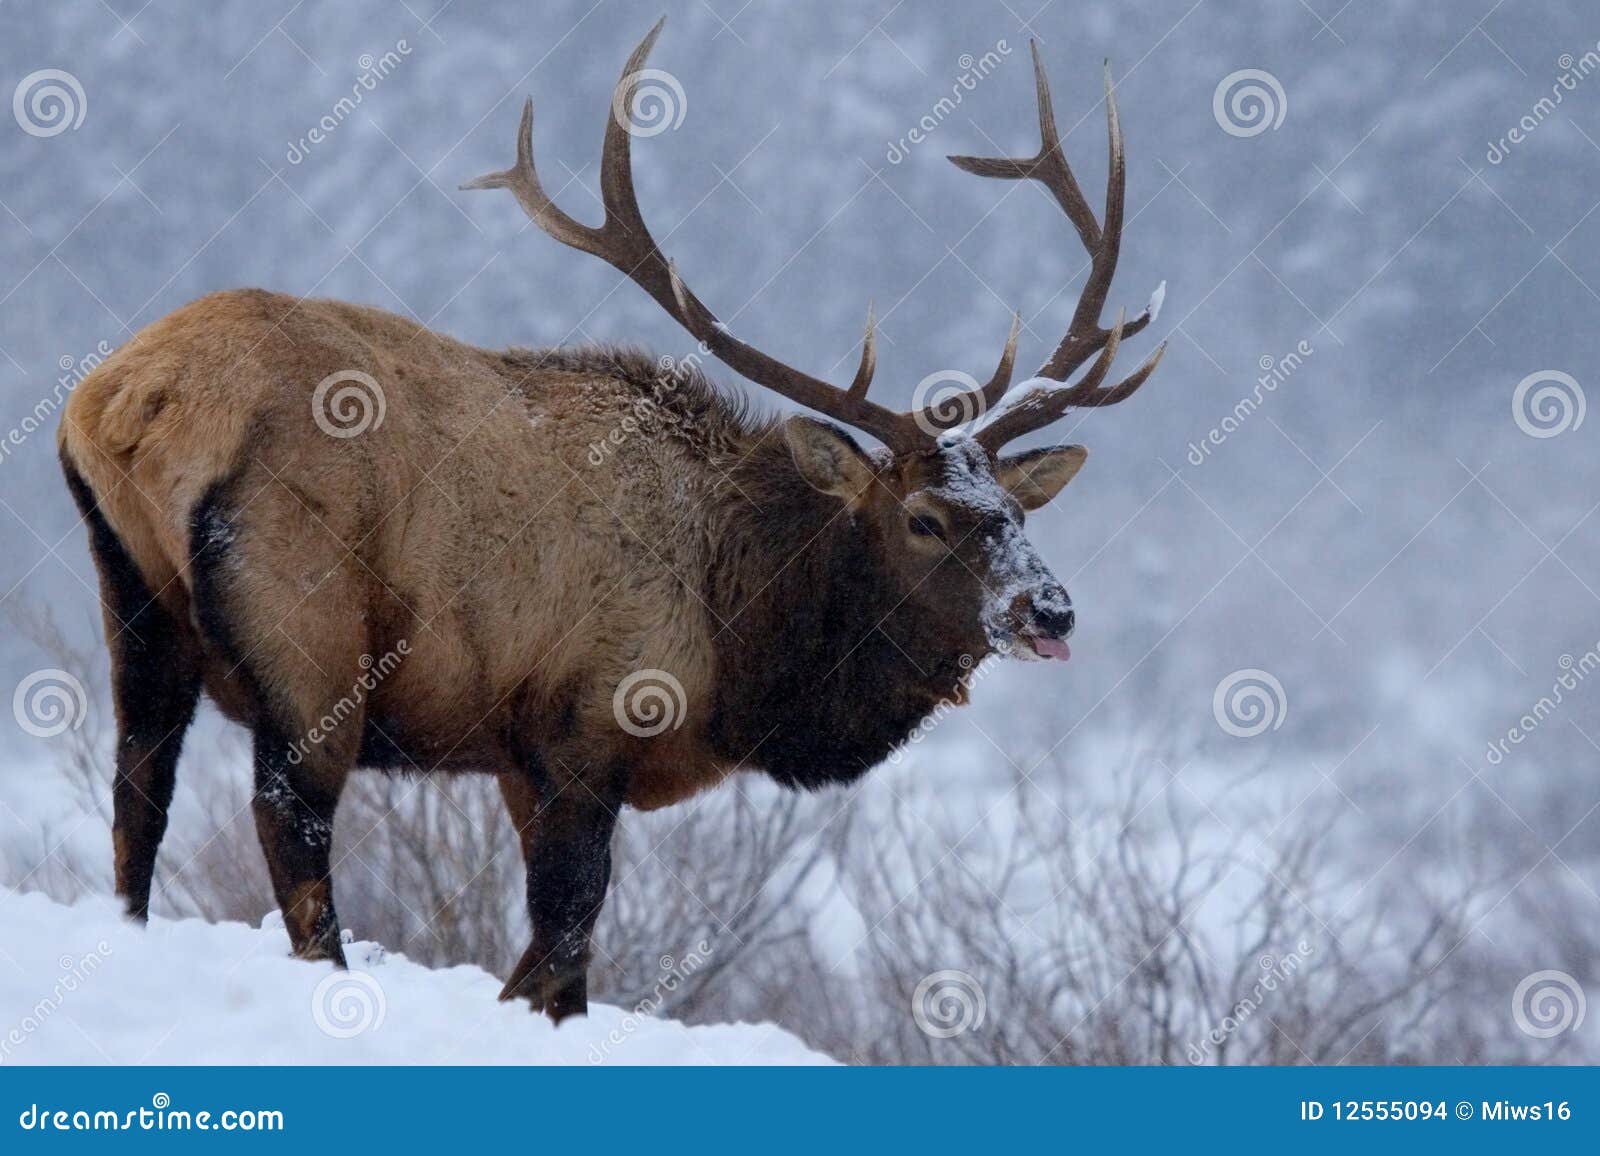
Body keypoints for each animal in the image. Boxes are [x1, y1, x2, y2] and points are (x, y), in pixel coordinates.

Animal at [57, 20, 1164, 1021]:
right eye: (925, 519)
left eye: (1011, 507)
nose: (1049, 608)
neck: (737, 637)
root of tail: (127, 399)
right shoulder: (594, 716)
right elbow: (565, 934)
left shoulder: (519, 758)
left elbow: (562, 952)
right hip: (307, 623)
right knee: (289, 820)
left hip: (133, 598)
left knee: (137, 791)